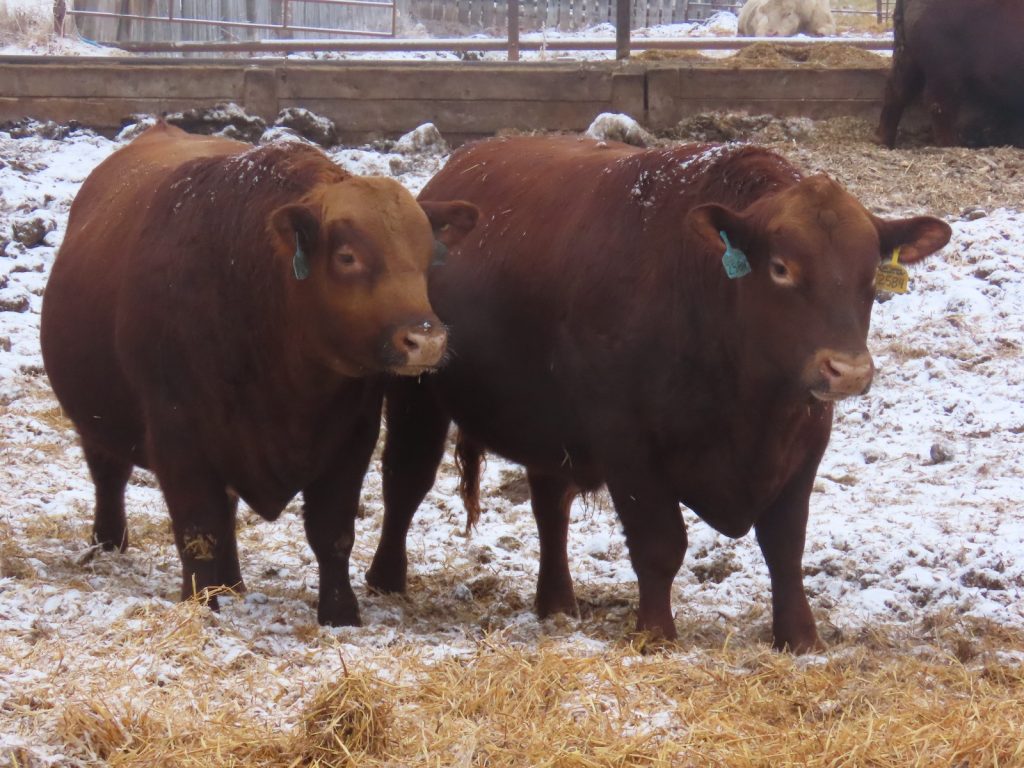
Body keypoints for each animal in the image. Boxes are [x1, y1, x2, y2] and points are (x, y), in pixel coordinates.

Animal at [40, 122, 478, 626]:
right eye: (347, 257)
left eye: (428, 257)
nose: (426, 339)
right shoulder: (178, 436)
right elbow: (200, 531)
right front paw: (205, 604)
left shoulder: (353, 437)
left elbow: (332, 532)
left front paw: (340, 612)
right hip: (97, 418)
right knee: (109, 474)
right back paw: (109, 543)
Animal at [365, 136, 951, 653]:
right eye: (781, 268)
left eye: (871, 274)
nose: (847, 370)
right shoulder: (628, 445)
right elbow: (660, 543)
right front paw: (656, 634)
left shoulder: (805, 443)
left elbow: (785, 546)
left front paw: (800, 638)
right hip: (418, 396)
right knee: (406, 480)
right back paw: (386, 579)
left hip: (548, 427)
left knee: (549, 506)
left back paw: (557, 602)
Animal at [877, 0, 1024, 148]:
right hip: (944, 70)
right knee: (939, 104)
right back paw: (952, 144)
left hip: (908, 58)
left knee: (896, 92)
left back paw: (885, 142)